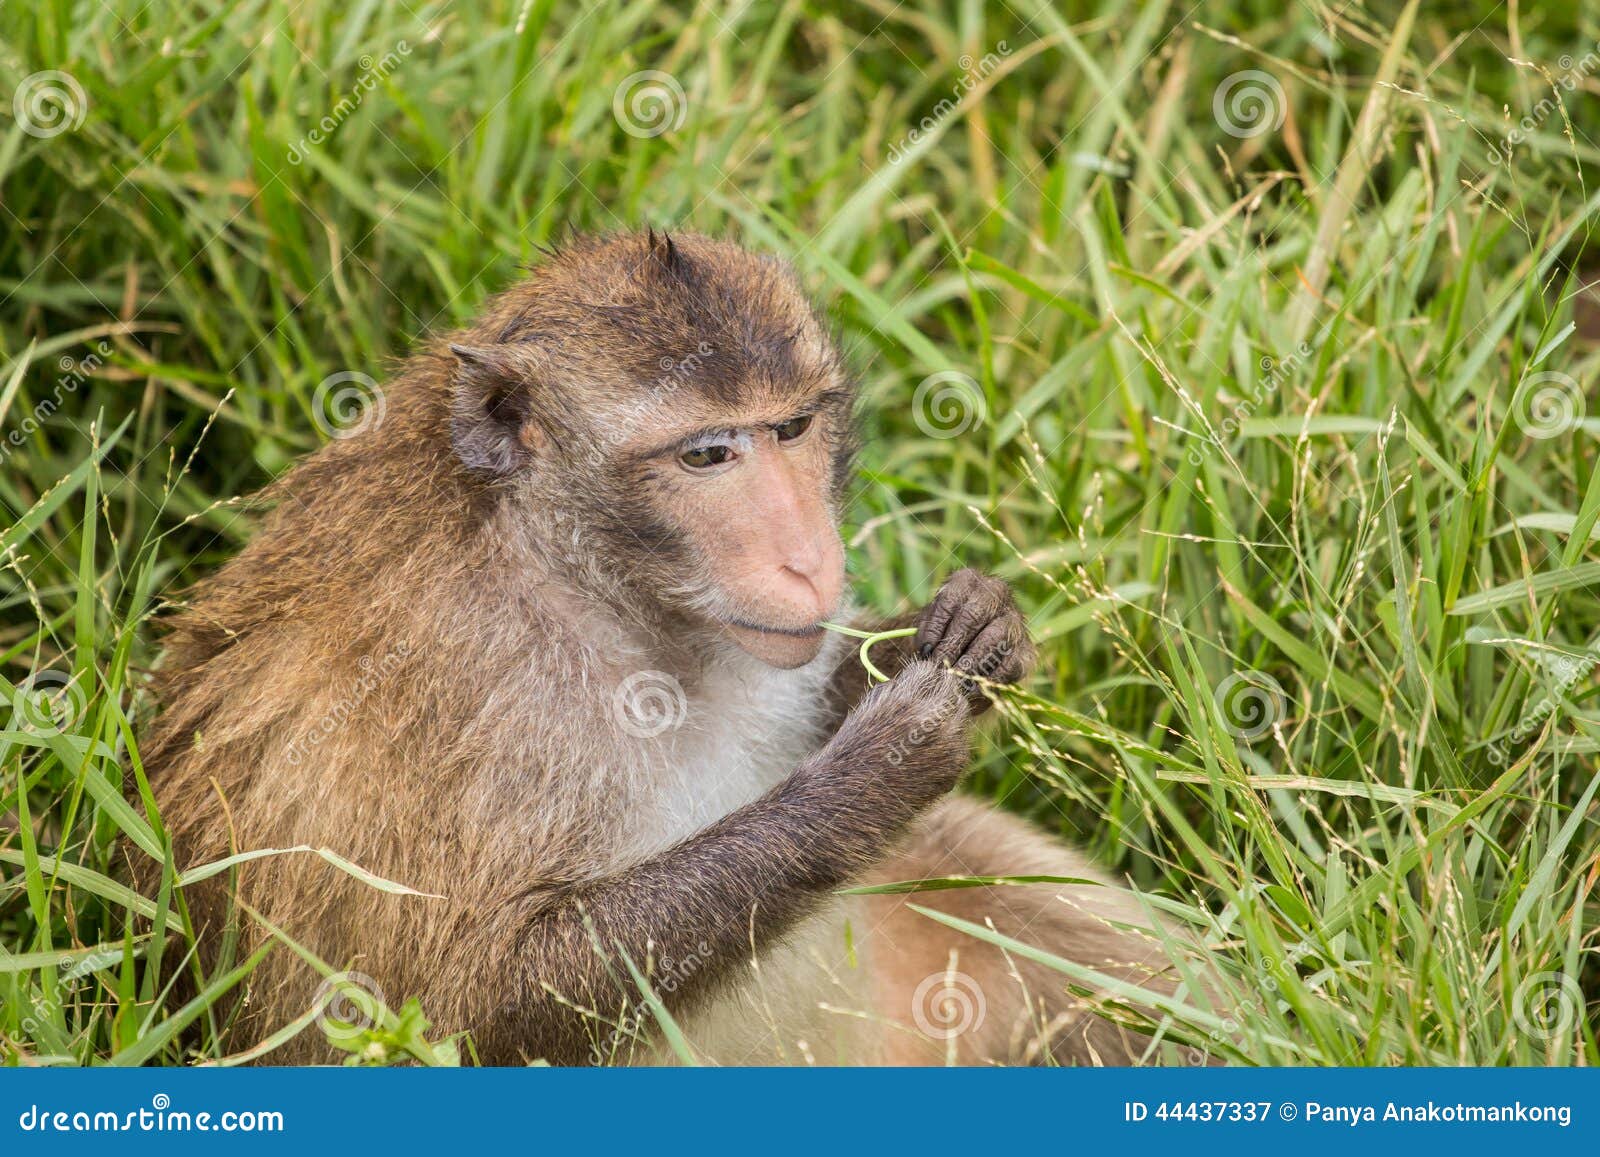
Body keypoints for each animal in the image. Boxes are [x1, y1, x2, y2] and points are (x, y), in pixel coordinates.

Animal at [139, 230, 1205, 1066]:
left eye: (791, 427)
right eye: (706, 455)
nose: (810, 560)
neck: (592, 588)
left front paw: (960, 630)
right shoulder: (460, 684)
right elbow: (455, 1004)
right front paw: (872, 773)